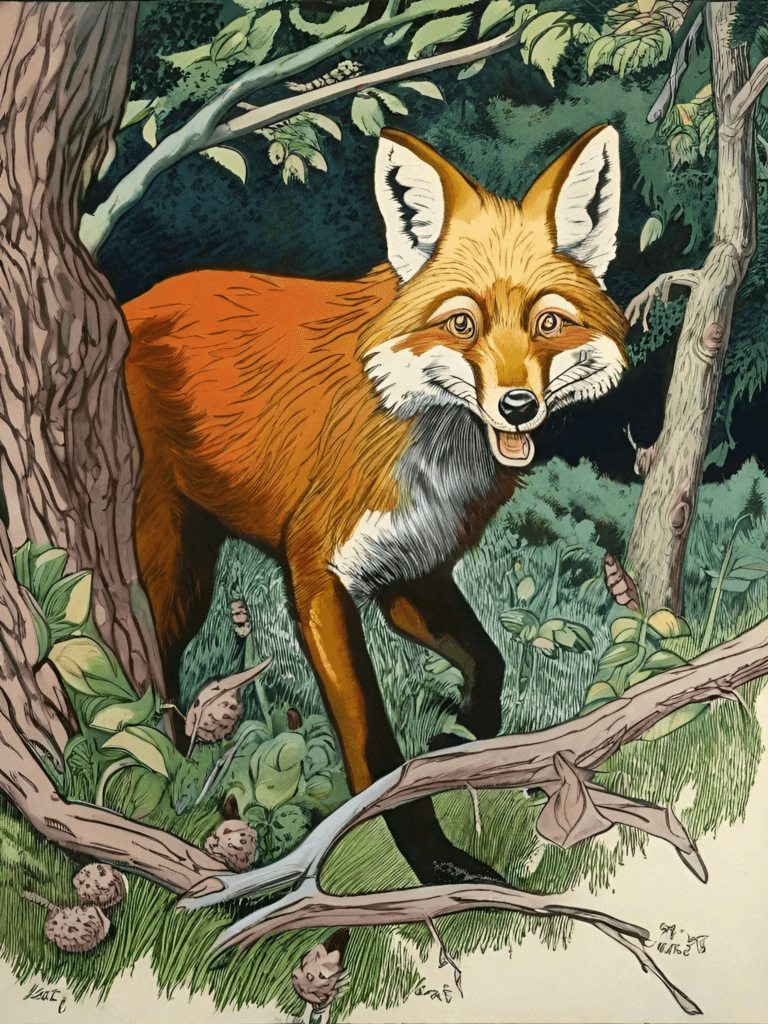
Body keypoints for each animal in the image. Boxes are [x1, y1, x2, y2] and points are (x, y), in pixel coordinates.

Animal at [124, 125, 628, 884]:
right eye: (461, 323)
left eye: (547, 323)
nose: (518, 407)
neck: (430, 444)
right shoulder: (320, 576)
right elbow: (376, 753)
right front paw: (436, 863)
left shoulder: (411, 571)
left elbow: (489, 662)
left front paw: (461, 738)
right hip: (175, 574)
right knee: (162, 679)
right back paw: (178, 777)